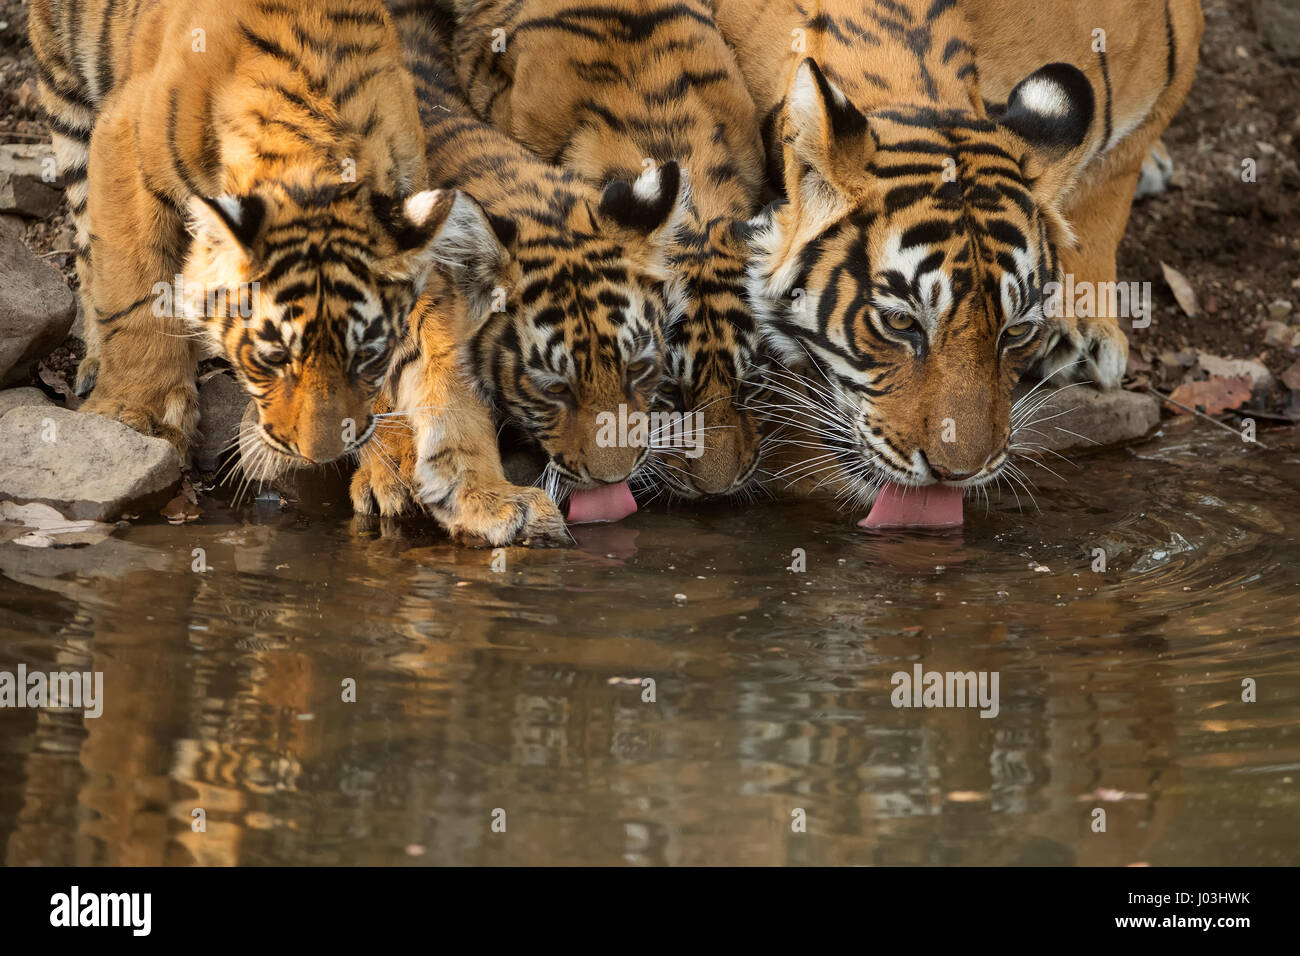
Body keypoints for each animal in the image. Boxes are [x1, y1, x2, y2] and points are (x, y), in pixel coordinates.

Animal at [28, 0, 471, 468]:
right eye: (272, 357)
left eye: (368, 356)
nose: (321, 456)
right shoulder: (125, 140)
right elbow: (136, 294)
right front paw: (140, 414)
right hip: (69, 102)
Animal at [708, 0, 1202, 524]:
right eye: (900, 323)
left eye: (1016, 332)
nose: (957, 474)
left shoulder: (1172, 44)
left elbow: (1110, 183)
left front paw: (1086, 330)